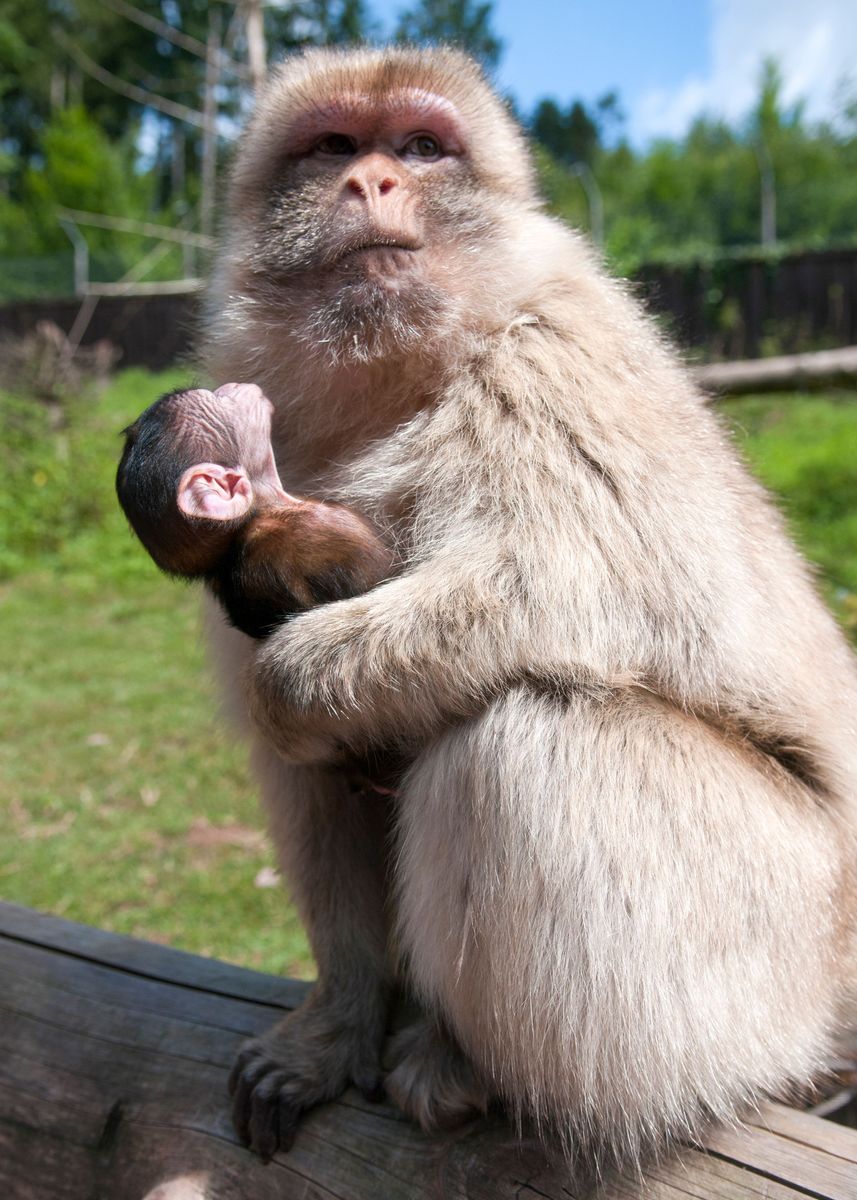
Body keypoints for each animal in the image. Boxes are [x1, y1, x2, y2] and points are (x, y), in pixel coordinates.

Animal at [196, 45, 857, 1171]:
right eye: (332, 145)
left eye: (421, 146)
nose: (369, 181)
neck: (401, 376)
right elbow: (291, 734)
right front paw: (337, 1020)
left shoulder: (550, 359)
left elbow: (567, 587)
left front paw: (296, 675)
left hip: (776, 943)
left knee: (521, 742)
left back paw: (472, 1065)